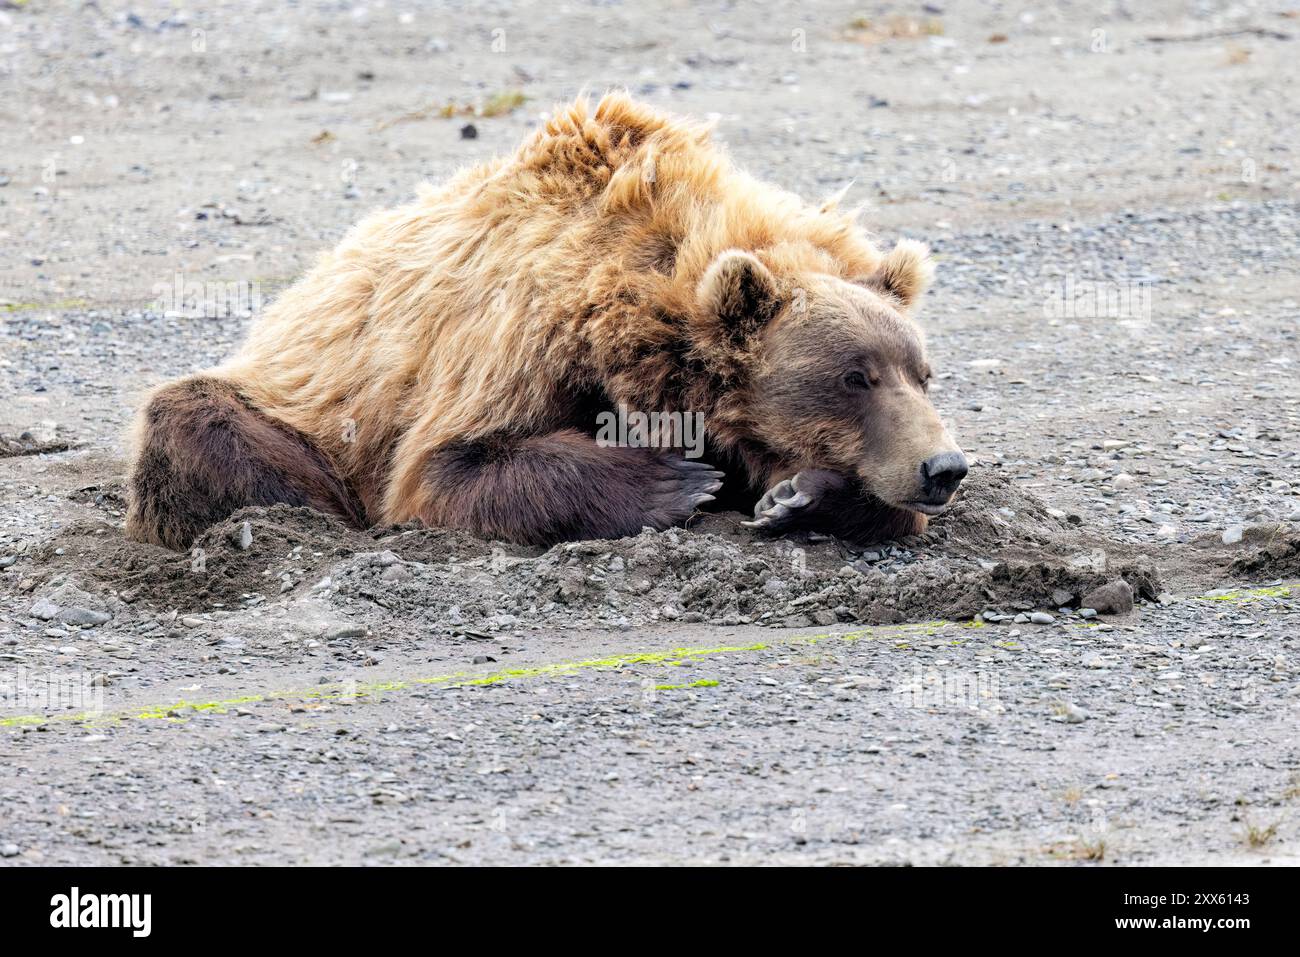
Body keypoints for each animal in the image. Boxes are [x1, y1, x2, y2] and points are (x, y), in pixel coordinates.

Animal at [125, 92, 967, 550]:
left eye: (922, 372)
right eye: (853, 375)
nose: (944, 467)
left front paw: (799, 495)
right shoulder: (517, 336)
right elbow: (443, 471)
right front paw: (677, 480)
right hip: (294, 406)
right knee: (195, 419)